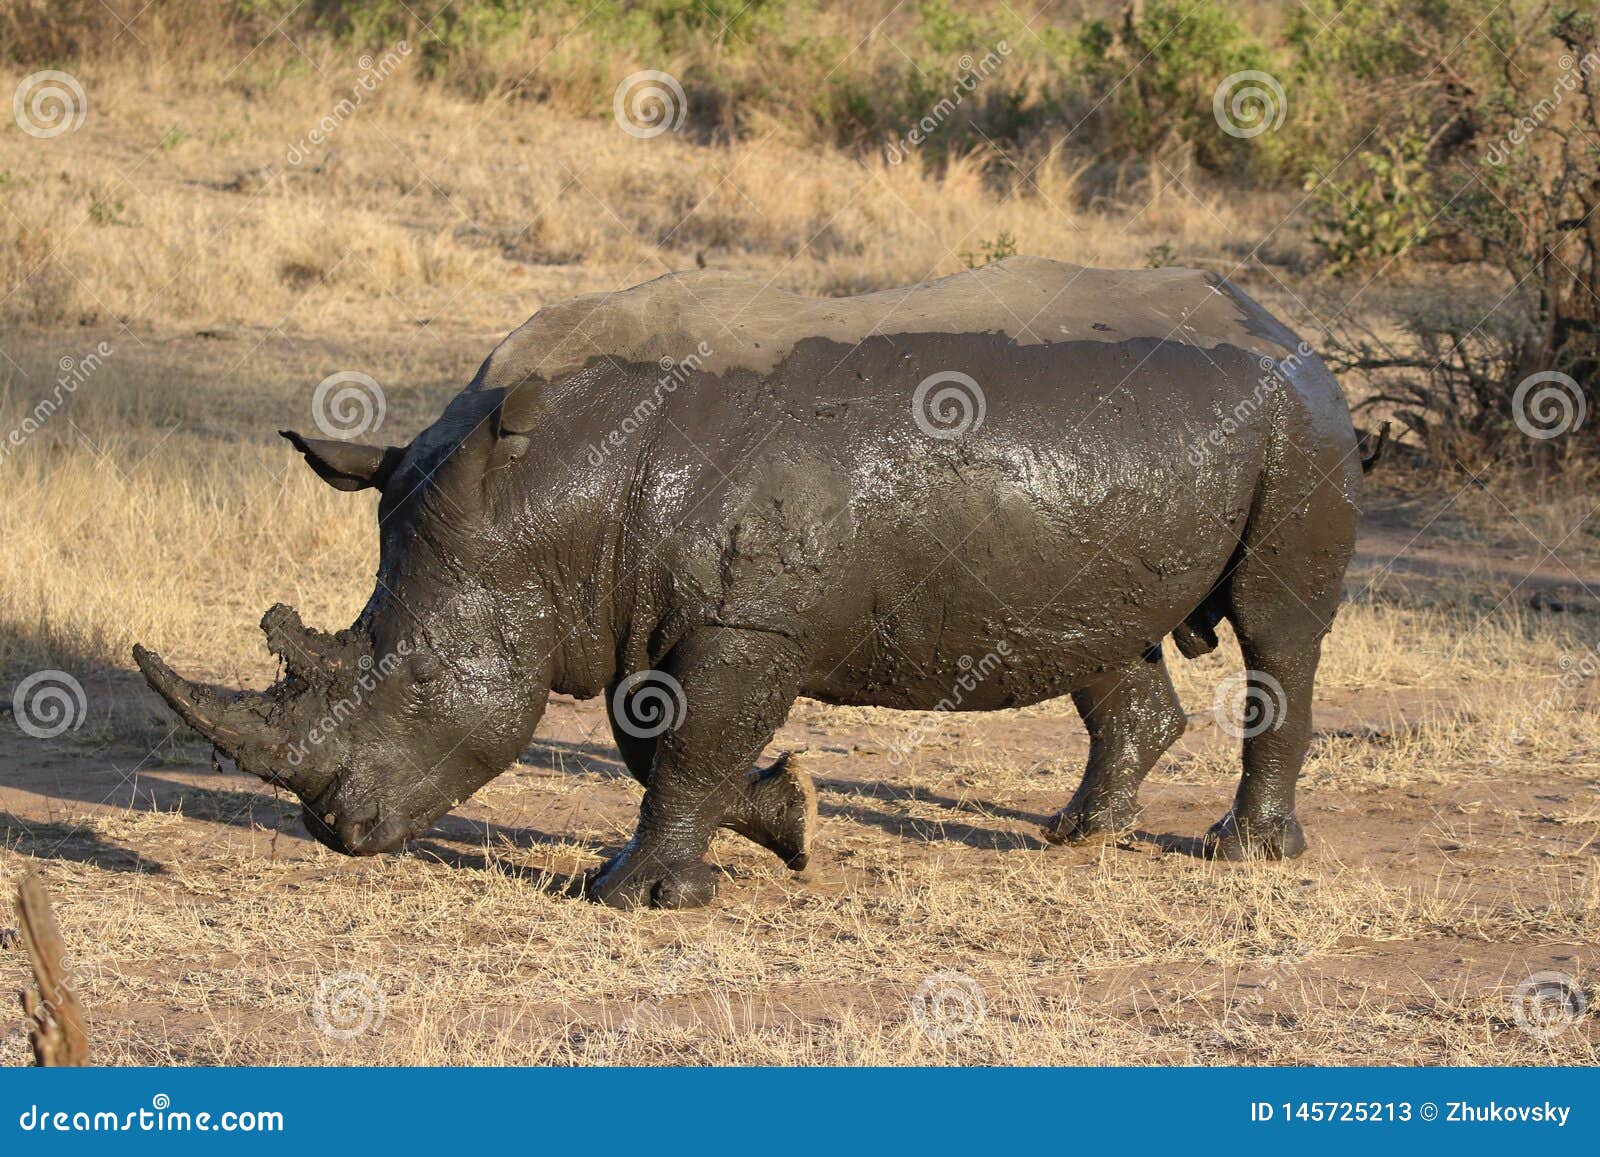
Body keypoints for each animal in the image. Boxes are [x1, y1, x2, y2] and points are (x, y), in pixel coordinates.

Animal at [135, 256, 1374, 909]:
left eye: (419, 684)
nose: (337, 828)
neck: (547, 498)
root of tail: (1288, 327)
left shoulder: (747, 619)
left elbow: (687, 745)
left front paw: (634, 897)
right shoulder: (645, 608)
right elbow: (665, 745)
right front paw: (788, 819)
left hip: (1299, 420)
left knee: (1275, 631)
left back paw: (1240, 851)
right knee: (1101, 633)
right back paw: (1075, 834)